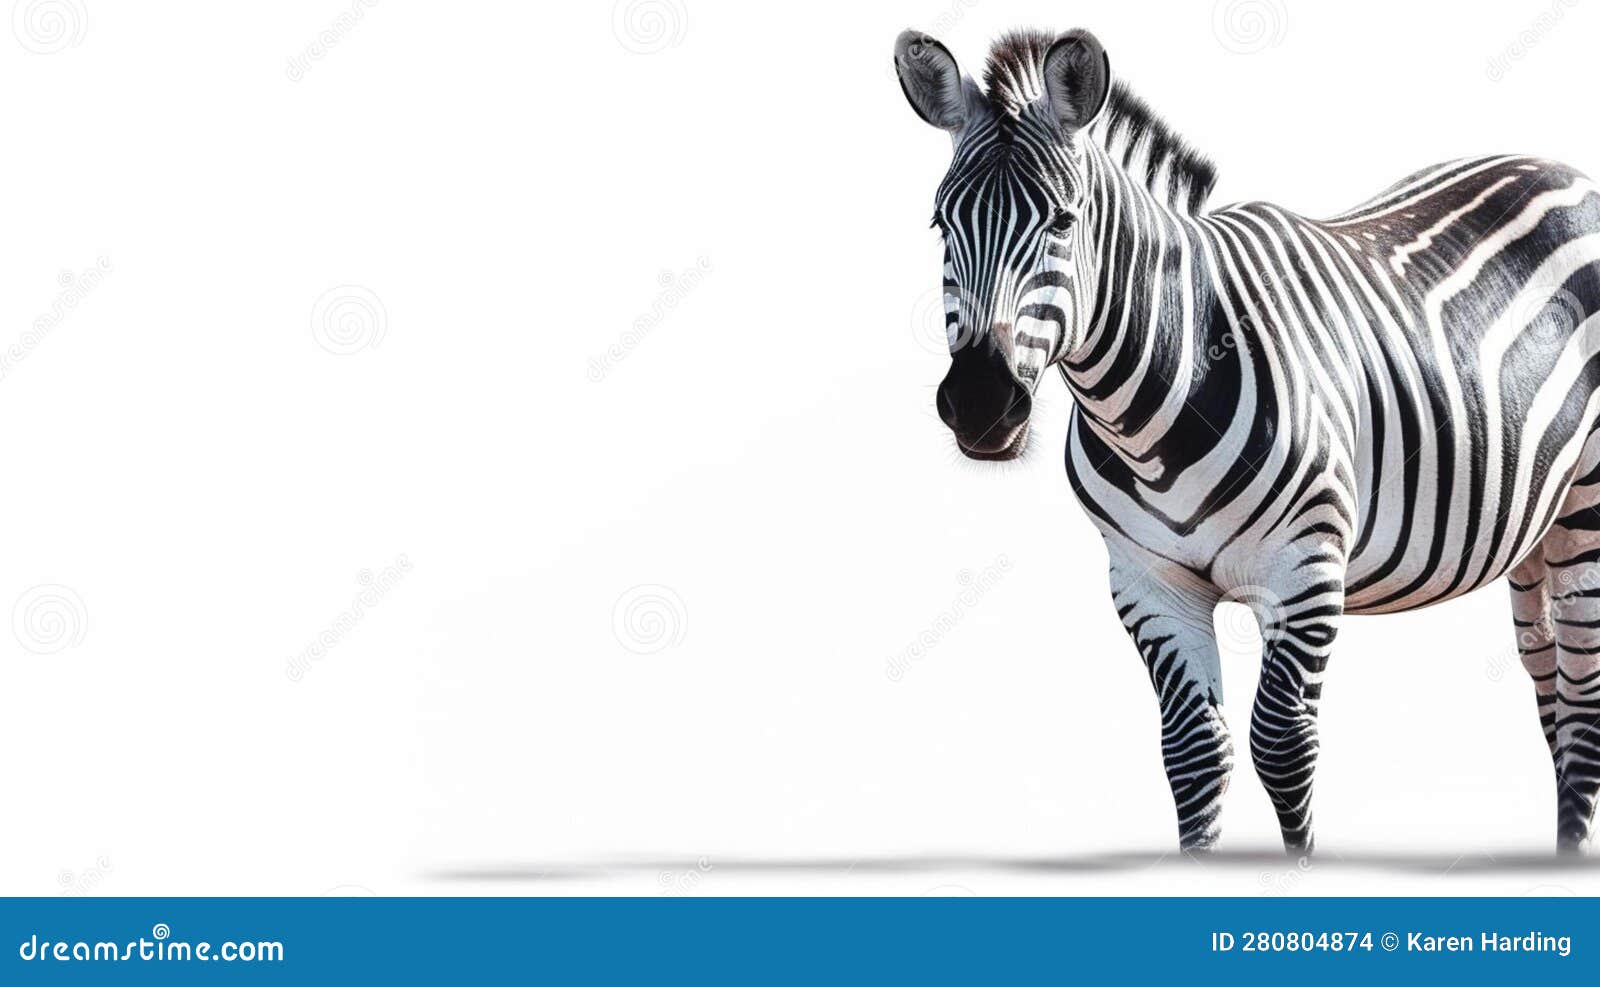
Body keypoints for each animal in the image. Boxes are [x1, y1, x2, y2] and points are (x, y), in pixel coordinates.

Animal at [893, 27, 1600, 855]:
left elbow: (1282, 745)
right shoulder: (1148, 580)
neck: (1153, 409)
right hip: (1536, 525)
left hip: (1588, 507)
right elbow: (1195, 751)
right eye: (940, 224)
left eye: (1063, 223)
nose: (979, 404)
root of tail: (1562, 169)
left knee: (1583, 699)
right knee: (1549, 684)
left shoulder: (1306, 569)